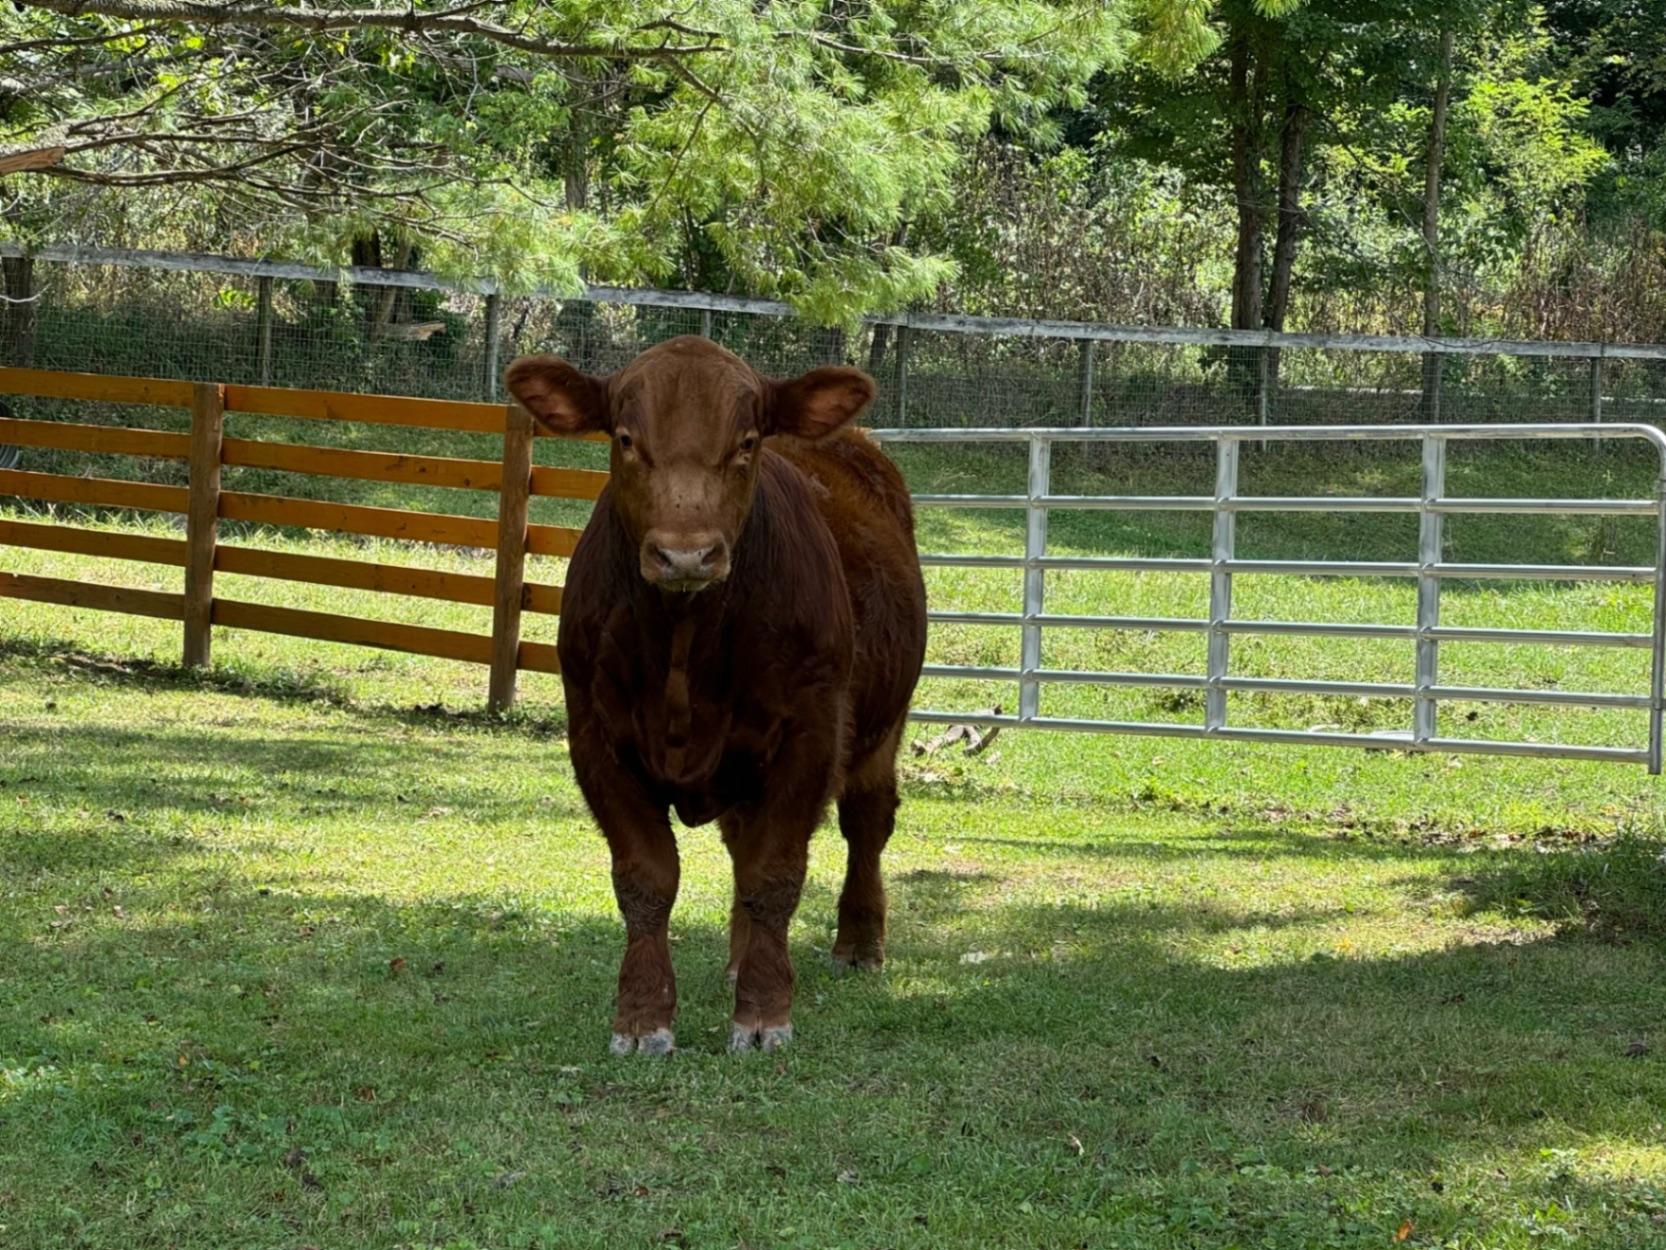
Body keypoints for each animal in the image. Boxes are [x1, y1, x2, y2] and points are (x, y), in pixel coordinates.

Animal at [505, 336, 927, 1055]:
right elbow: (647, 878)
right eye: (625, 438)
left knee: (866, 822)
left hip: (883, 724)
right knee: (742, 840)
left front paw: (762, 1014)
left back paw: (858, 943)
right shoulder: (594, 734)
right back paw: (738, 959)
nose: (685, 555)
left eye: (747, 442)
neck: (683, 641)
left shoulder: (811, 734)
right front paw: (641, 1018)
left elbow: (775, 873)